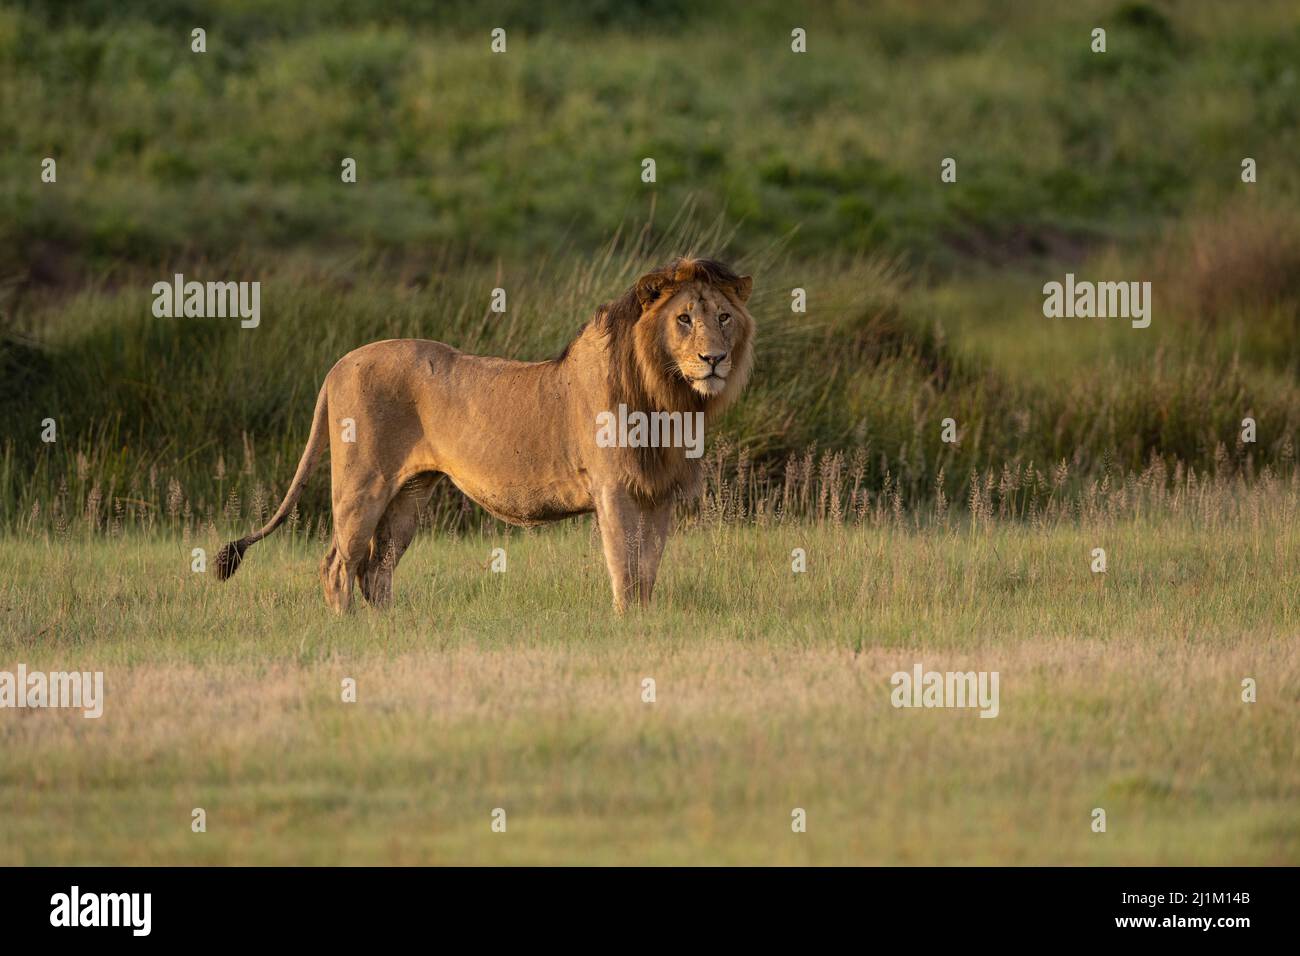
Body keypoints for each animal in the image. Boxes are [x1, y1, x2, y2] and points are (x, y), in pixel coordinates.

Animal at [215, 257, 755, 612]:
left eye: (723, 317)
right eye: (683, 319)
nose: (714, 358)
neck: (669, 396)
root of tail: (338, 364)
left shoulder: (658, 492)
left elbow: (647, 573)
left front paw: (644, 622)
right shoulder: (614, 489)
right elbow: (625, 571)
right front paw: (627, 626)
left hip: (408, 494)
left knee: (377, 568)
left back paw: (387, 629)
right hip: (361, 484)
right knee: (338, 565)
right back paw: (347, 629)